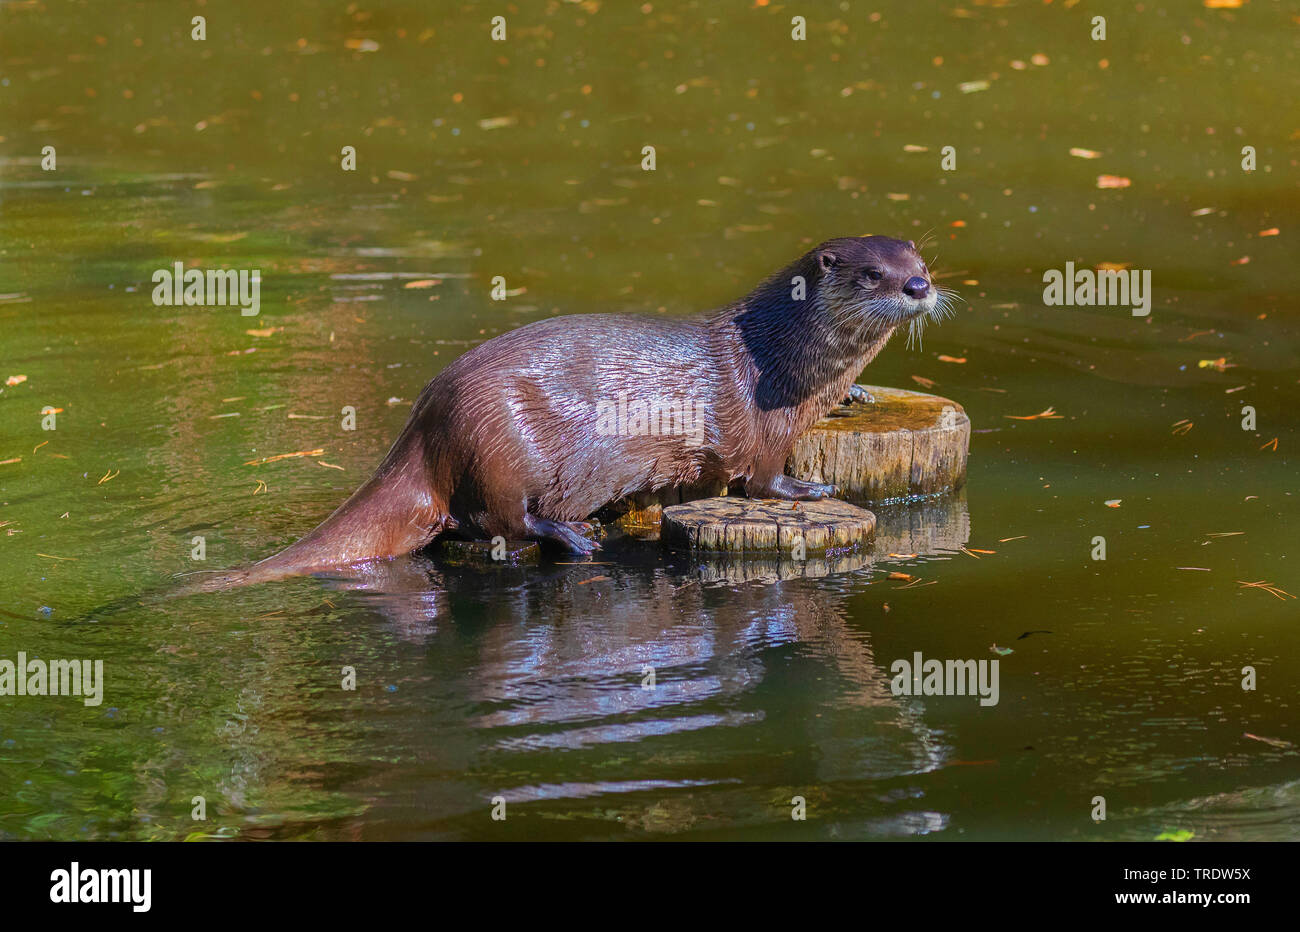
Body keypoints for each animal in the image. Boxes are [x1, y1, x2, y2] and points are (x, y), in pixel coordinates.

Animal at [204, 235, 952, 587]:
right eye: (872, 275)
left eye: (921, 263)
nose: (918, 286)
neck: (778, 360)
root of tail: (421, 427)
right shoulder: (761, 426)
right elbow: (762, 479)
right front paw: (810, 489)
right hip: (499, 439)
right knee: (498, 520)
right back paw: (571, 534)